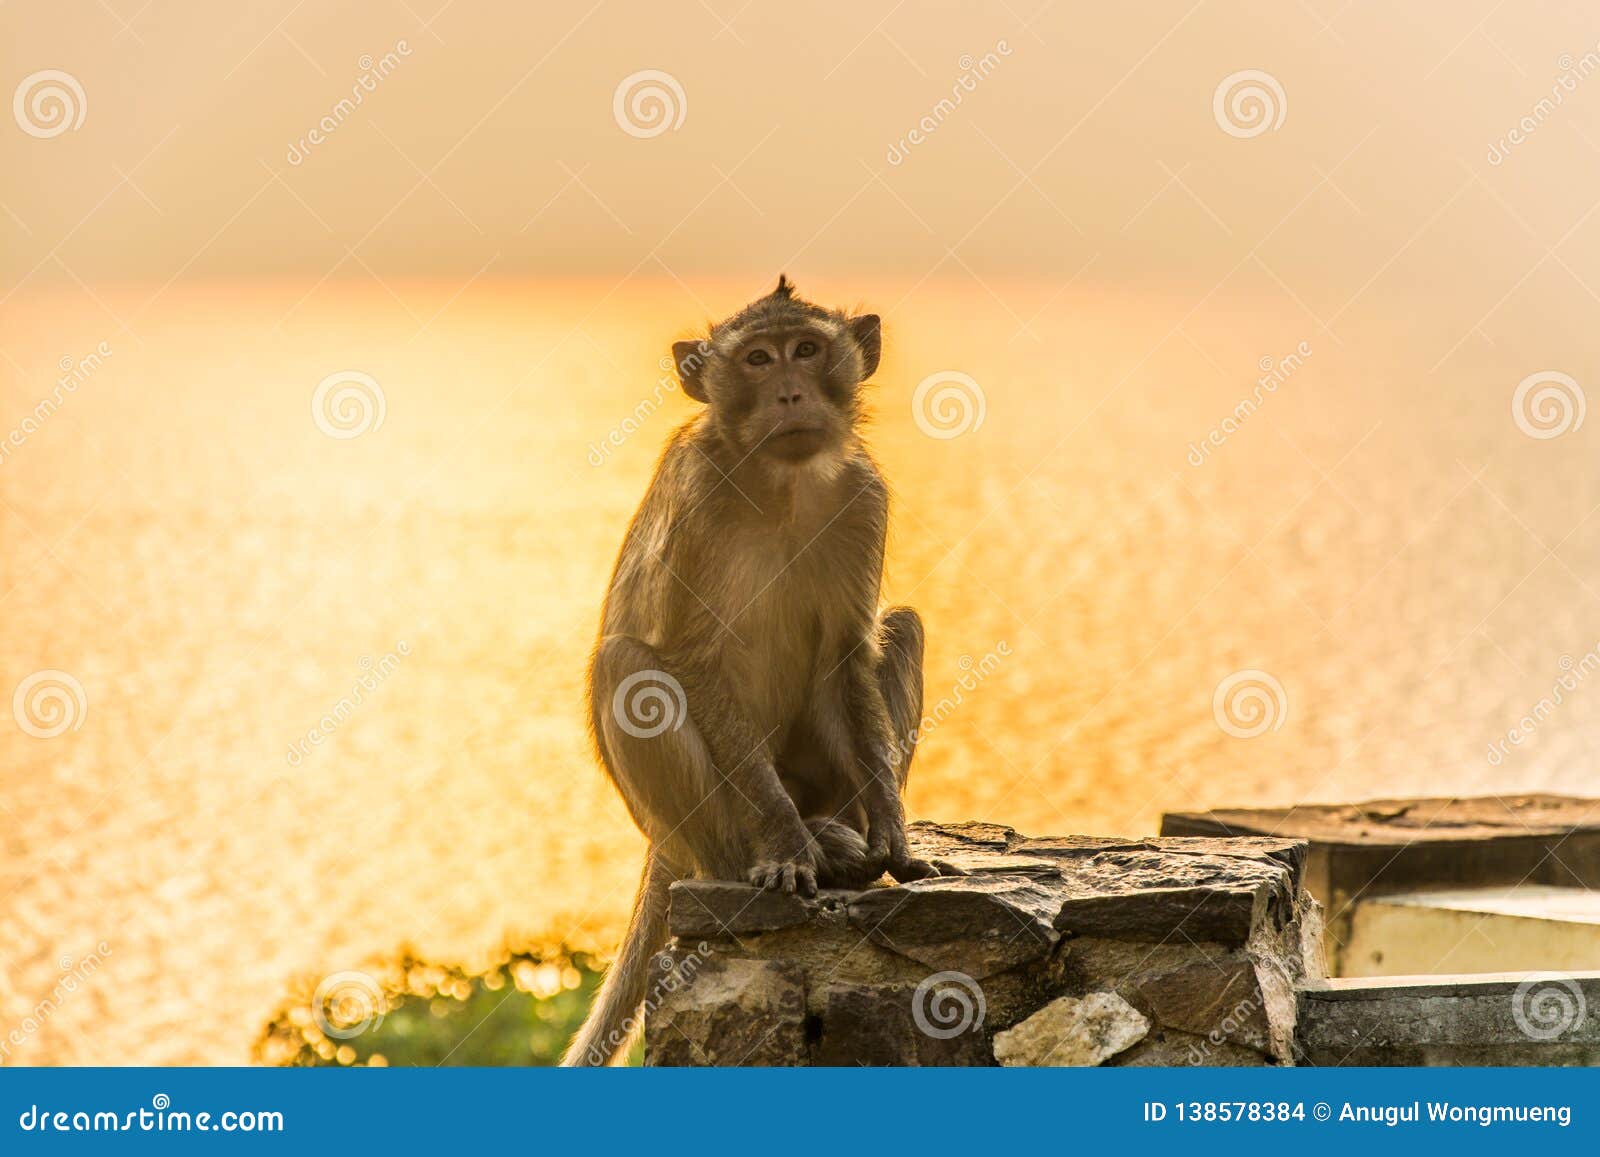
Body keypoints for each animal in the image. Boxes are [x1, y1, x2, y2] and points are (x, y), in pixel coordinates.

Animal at [561, 277, 957, 1067]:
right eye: (756, 359)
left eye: (805, 349)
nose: (789, 392)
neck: (784, 482)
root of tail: (663, 846)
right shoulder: (699, 497)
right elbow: (690, 657)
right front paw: (783, 846)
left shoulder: (864, 496)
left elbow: (847, 655)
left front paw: (893, 836)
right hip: (694, 823)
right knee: (629, 666)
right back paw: (769, 852)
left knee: (901, 625)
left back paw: (844, 838)